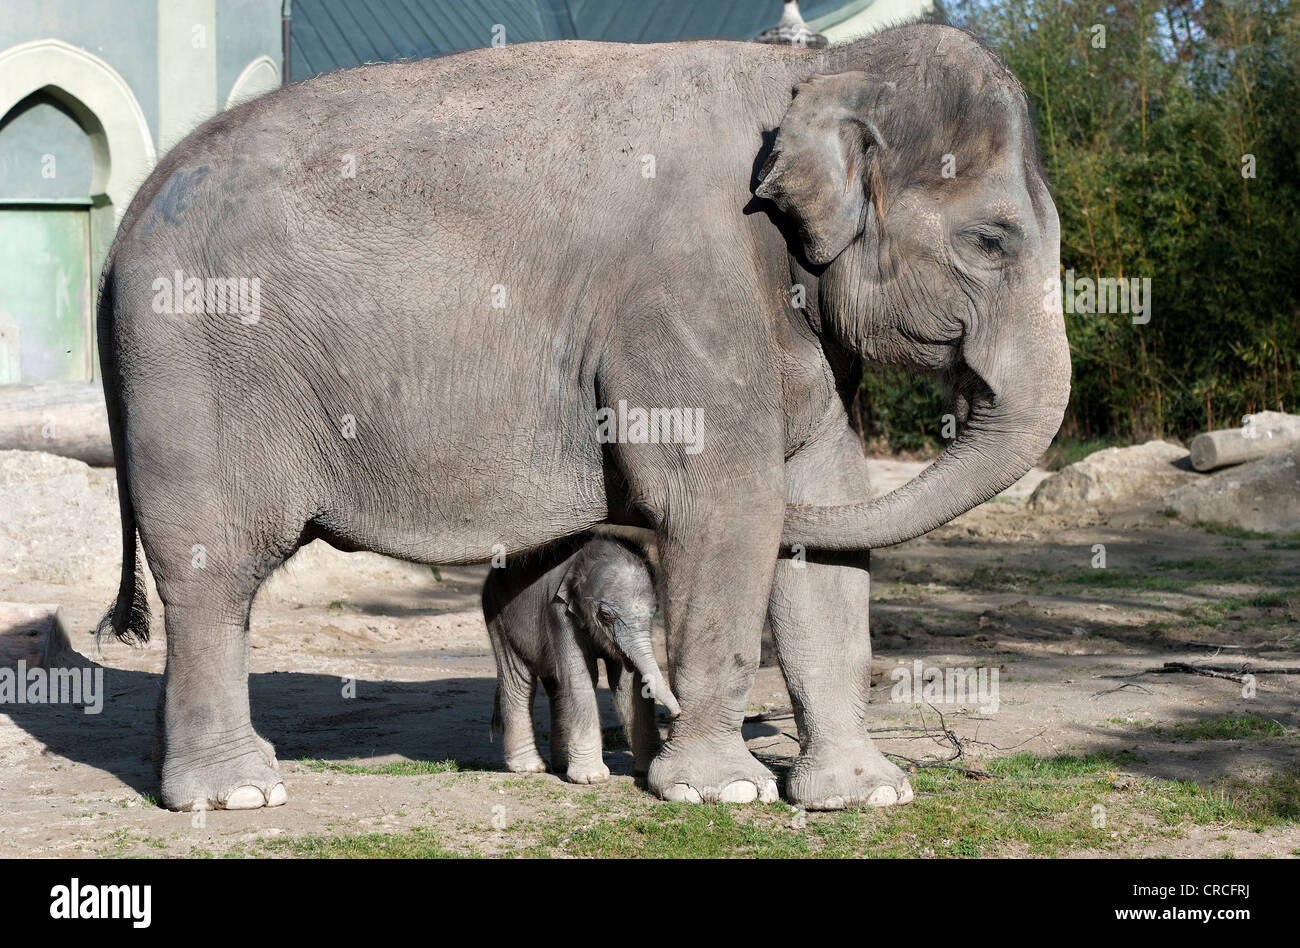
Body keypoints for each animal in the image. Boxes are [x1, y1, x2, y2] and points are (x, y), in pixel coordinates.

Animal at [483, 533, 679, 782]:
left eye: (654, 612)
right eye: (606, 616)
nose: (676, 713)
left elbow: (627, 684)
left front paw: (645, 771)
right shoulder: (559, 612)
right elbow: (580, 673)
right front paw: (591, 778)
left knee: (556, 687)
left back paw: (561, 764)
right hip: (496, 616)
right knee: (520, 681)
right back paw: (531, 767)